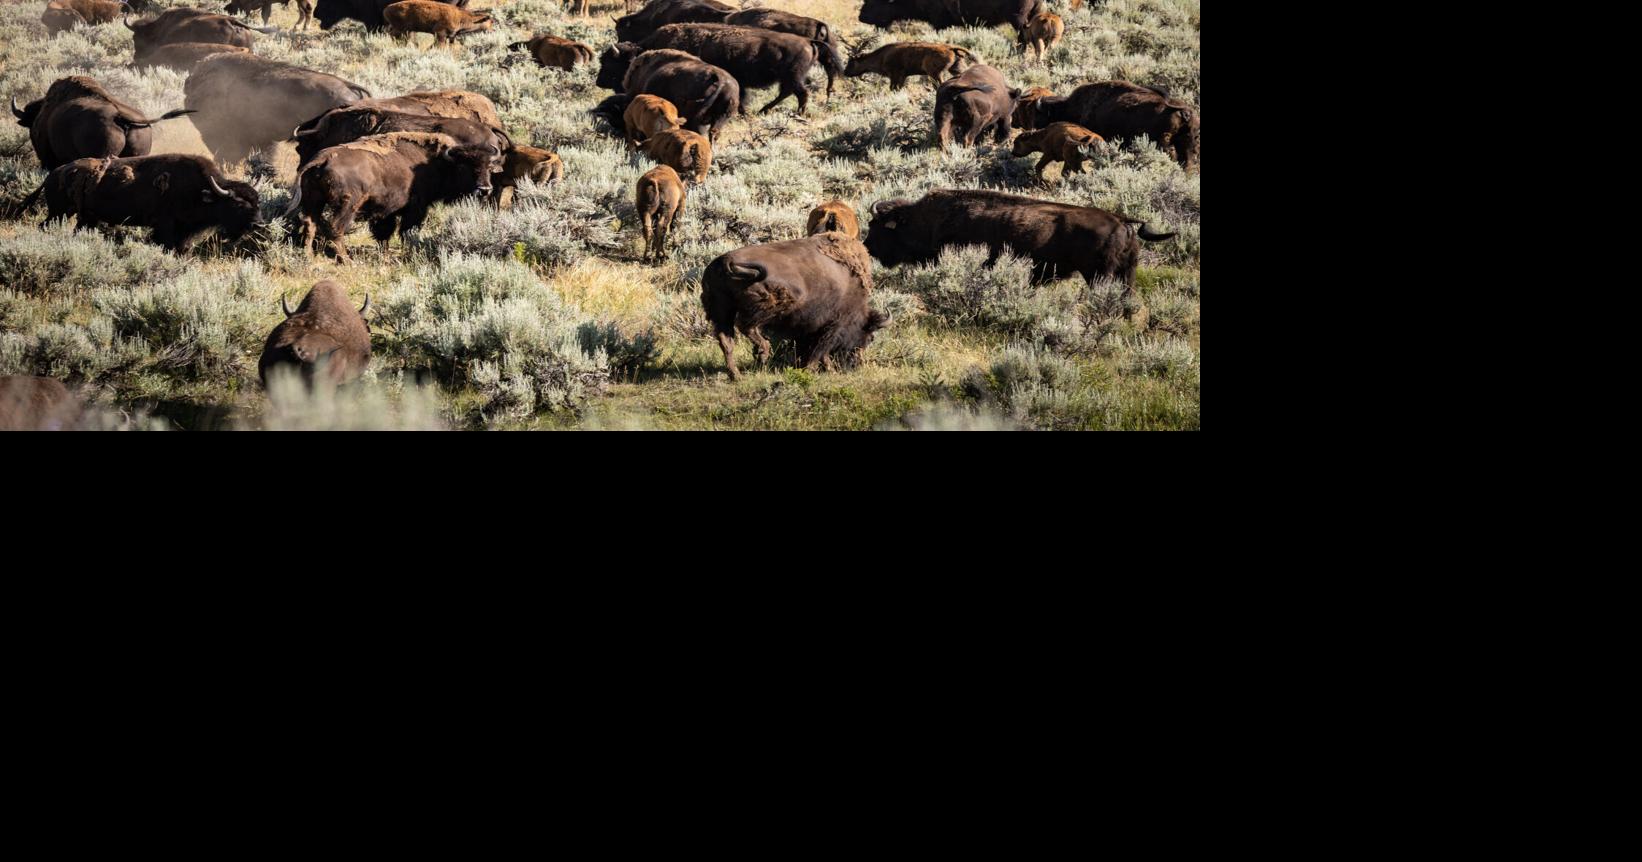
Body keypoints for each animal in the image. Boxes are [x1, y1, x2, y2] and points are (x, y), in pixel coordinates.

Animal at [40, 154, 262, 252]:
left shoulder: (184, 234)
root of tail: (54, 174)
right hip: (59, 213)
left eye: (258, 202)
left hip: (85, 218)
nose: (258, 224)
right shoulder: (165, 228)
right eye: (239, 205)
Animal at [296, 132, 502, 262]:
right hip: (347, 206)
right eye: (465, 167)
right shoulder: (415, 209)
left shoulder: (386, 213)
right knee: (335, 228)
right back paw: (346, 261)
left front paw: (385, 255)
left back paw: (308, 257)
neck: (438, 162)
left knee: (310, 224)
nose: (484, 189)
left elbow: (383, 234)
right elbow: (406, 231)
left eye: (489, 168)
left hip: (313, 202)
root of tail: (323, 158)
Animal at [701, 233, 885, 381]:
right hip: (776, 303)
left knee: (727, 340)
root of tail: (726, 262)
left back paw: (736, 375)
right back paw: (763, 353)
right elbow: (820, 349)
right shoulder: (833, 324)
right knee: (745, 326)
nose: (857, 364)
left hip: (722, 311)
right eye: (869, 337)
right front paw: (814, 370)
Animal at [863, 190, 1175, 317]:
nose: (866, 247)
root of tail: (1121, 220)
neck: (924, 219)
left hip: (1099, 275)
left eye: (876, 226)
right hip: (1127, 273)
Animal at [1026, 82, 1199, 171]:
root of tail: (1183, 110)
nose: (1033, 128)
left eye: (1040, 115)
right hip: (1187, 143)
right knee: (1187, 160)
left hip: (1163, 143)